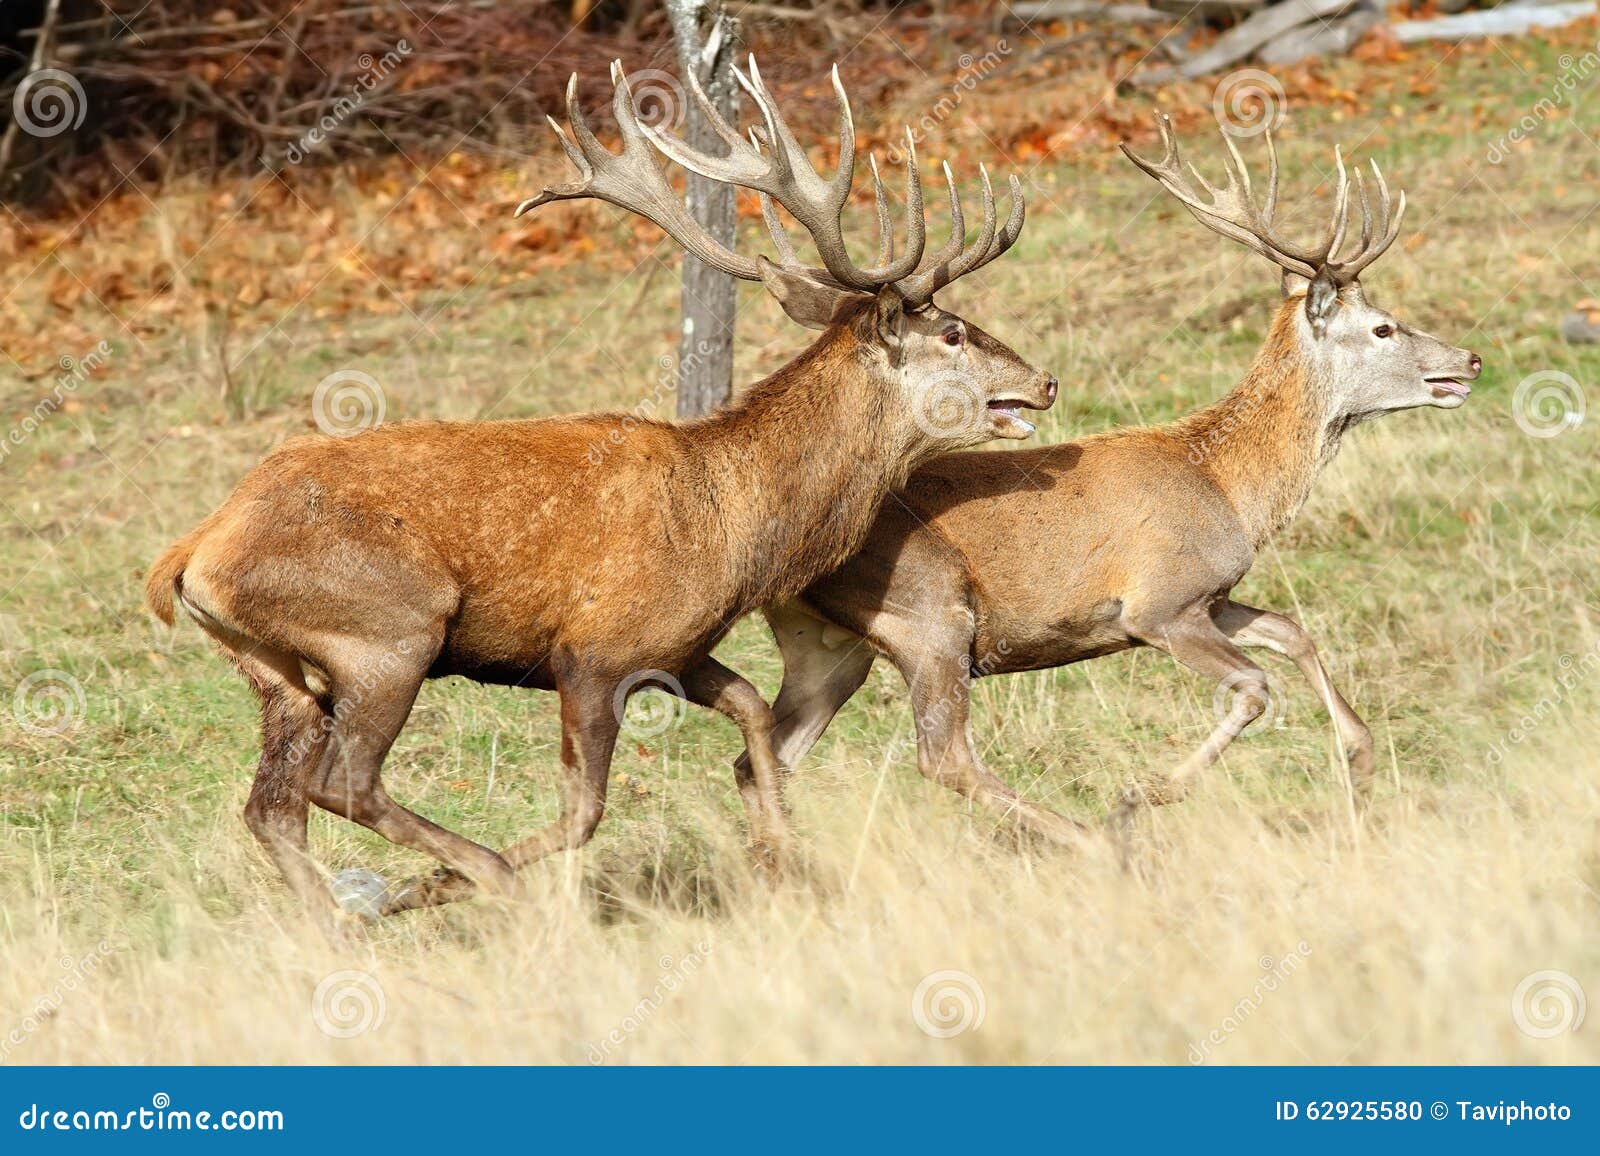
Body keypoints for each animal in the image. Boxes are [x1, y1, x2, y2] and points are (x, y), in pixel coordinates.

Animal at [142, 58, 1057, 931]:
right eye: (953, 332)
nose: (1044, 380)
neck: (739, 522)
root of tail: (192, 554)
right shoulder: (593, 651)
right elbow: (586, 809)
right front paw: (436, 886)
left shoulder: (675, 647)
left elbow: (753, 712)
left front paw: (780, 858)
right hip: (388, 631)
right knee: (342, 784)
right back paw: (461, 879)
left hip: (271, 666)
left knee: (272, 806)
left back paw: (335, 924)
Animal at [738, 114, 1482, 844]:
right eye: (1384, 328)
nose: (1471, 359)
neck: (1227, 487)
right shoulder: (1160, 601)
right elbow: (1254, 686)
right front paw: (1141, 794)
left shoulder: (1211, 596)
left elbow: (1293, 630)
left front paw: (1360, 756)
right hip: (929, 612)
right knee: (942, 754)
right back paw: (1090, 838)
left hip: (830, 645)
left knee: (764, 755)